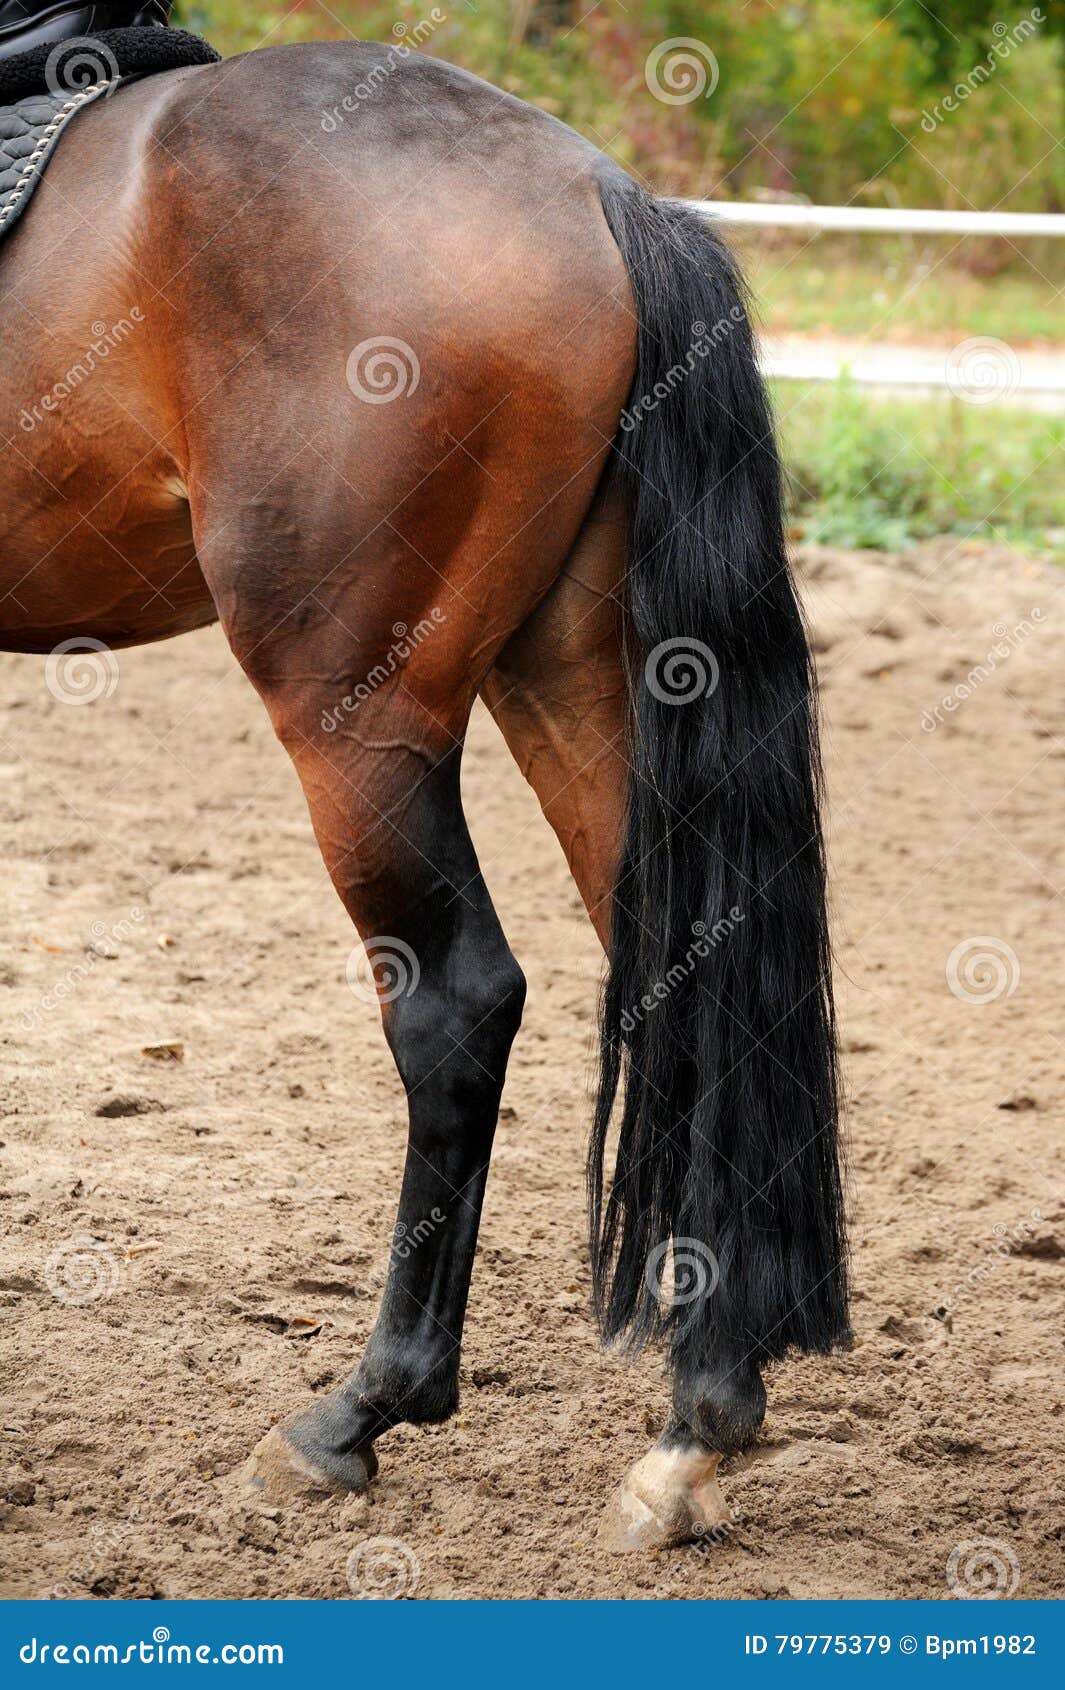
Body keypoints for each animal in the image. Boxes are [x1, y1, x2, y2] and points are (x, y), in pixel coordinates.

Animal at [0, 37, 848, 1551]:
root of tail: (594, 187)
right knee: (692, 976)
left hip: (359, 720)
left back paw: (359, 1411)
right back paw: (697, 1420)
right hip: (574, 675)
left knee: (455, 1005)